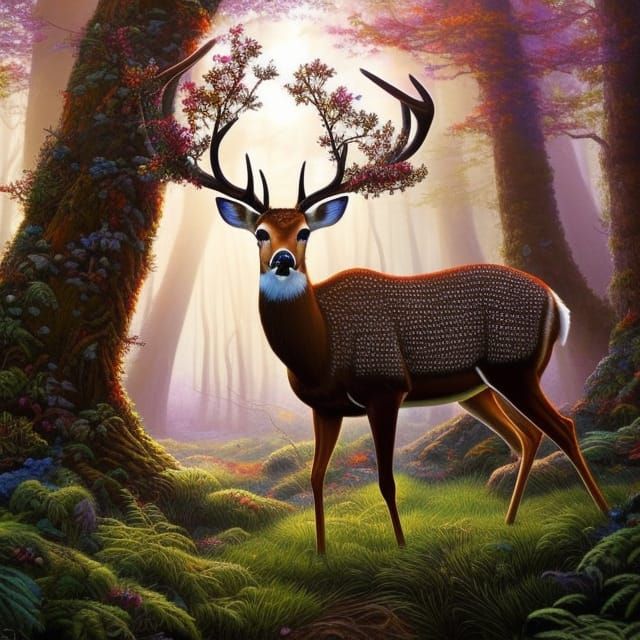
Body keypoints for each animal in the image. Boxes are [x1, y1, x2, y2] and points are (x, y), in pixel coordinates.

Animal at [149, 42, 610, 554]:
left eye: (305, 231)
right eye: (260, 233)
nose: (284, 261)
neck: (323, 349)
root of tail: (557, 303)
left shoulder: (385, 385)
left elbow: (386, 480)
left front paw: (403, 547)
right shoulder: (325, 406)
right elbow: (315, 477)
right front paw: (322, 552)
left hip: (515, 366)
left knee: (563, 428)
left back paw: (603, 512)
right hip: (478, 387)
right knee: (527, 436)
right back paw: (510, 521)